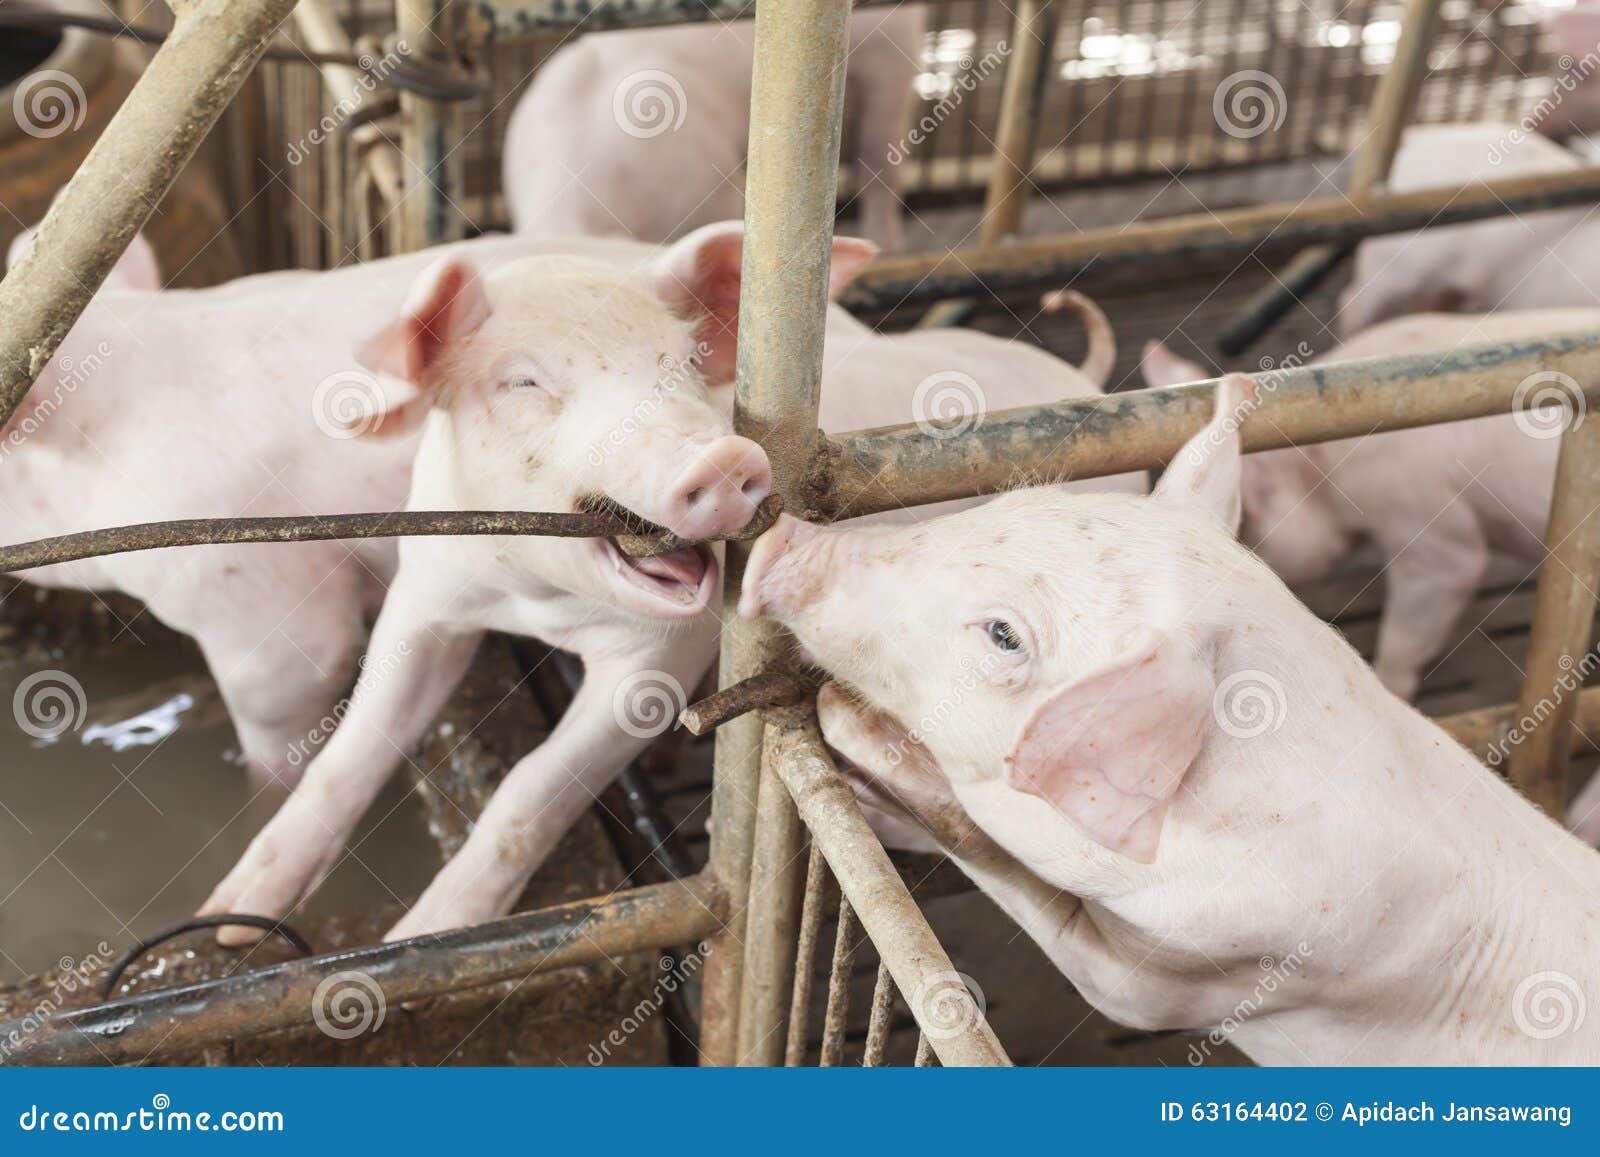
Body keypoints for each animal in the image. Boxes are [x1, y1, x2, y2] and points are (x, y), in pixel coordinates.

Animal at [201, 222, 1133, 941]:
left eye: (682, 362)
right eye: (523, 379)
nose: (722, 458)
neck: (541, 603)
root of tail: (1079, 382)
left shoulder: (658, 663)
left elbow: (529, 789)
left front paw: (422, 936)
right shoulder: (428, 593)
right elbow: (352, 747)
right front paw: (228, 921)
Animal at [741, 379, 1600, 1064]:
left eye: (1003, 634)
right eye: (1013, 503)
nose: (781, 539)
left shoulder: (1183, 975)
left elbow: (1041, 904)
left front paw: (846, 725)